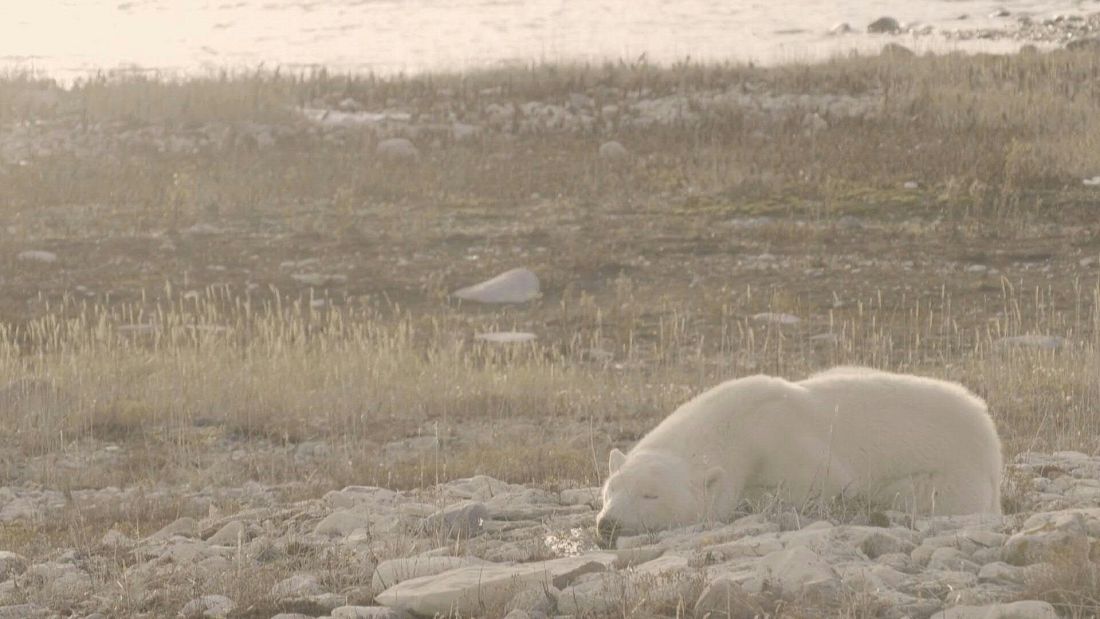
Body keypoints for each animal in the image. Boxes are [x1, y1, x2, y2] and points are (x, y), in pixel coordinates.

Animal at [596, 367, 1003, 545]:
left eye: (651, 495)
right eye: (610, 491)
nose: (607, 524)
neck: (739, 425)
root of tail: (985, 422)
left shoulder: (790, 444)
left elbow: (822, 485)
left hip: (951, 474)